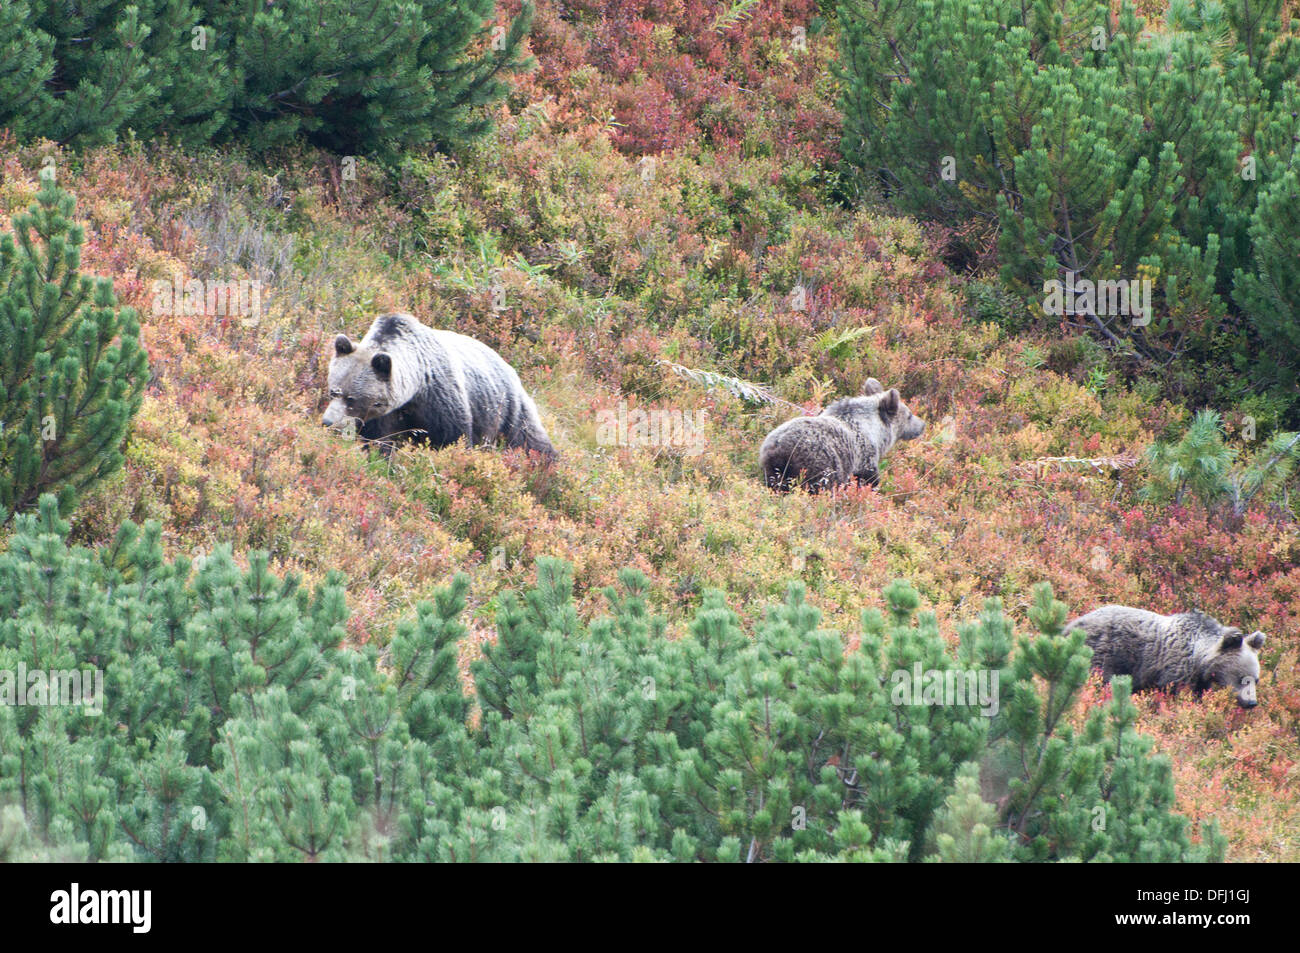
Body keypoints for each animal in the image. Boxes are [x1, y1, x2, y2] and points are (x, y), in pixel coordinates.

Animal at [322, 312, 556, 458]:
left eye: (351, 398)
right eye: (333, 391)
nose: (327, 421)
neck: (415, 389)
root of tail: (509, 365)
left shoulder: (440, 396)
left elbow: (452, 436)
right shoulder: (386, 413)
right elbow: (378, 439)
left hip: (505, 406)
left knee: (528, 438)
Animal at [759, 378, 925, 492]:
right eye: (909, 415)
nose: (923, 425)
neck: (875, 432)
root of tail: (779, 447)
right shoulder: (864, 458)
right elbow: (867, 480)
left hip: (771, 467)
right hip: (817, 465)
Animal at [1064, 605, 1266, 708]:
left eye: (1255, 679)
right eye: (1242, 678)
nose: (1251, 702)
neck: (1198, 660)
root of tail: (1072, 625)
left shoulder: (1200, 679)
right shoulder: (1175, 670)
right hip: (1104, 653)